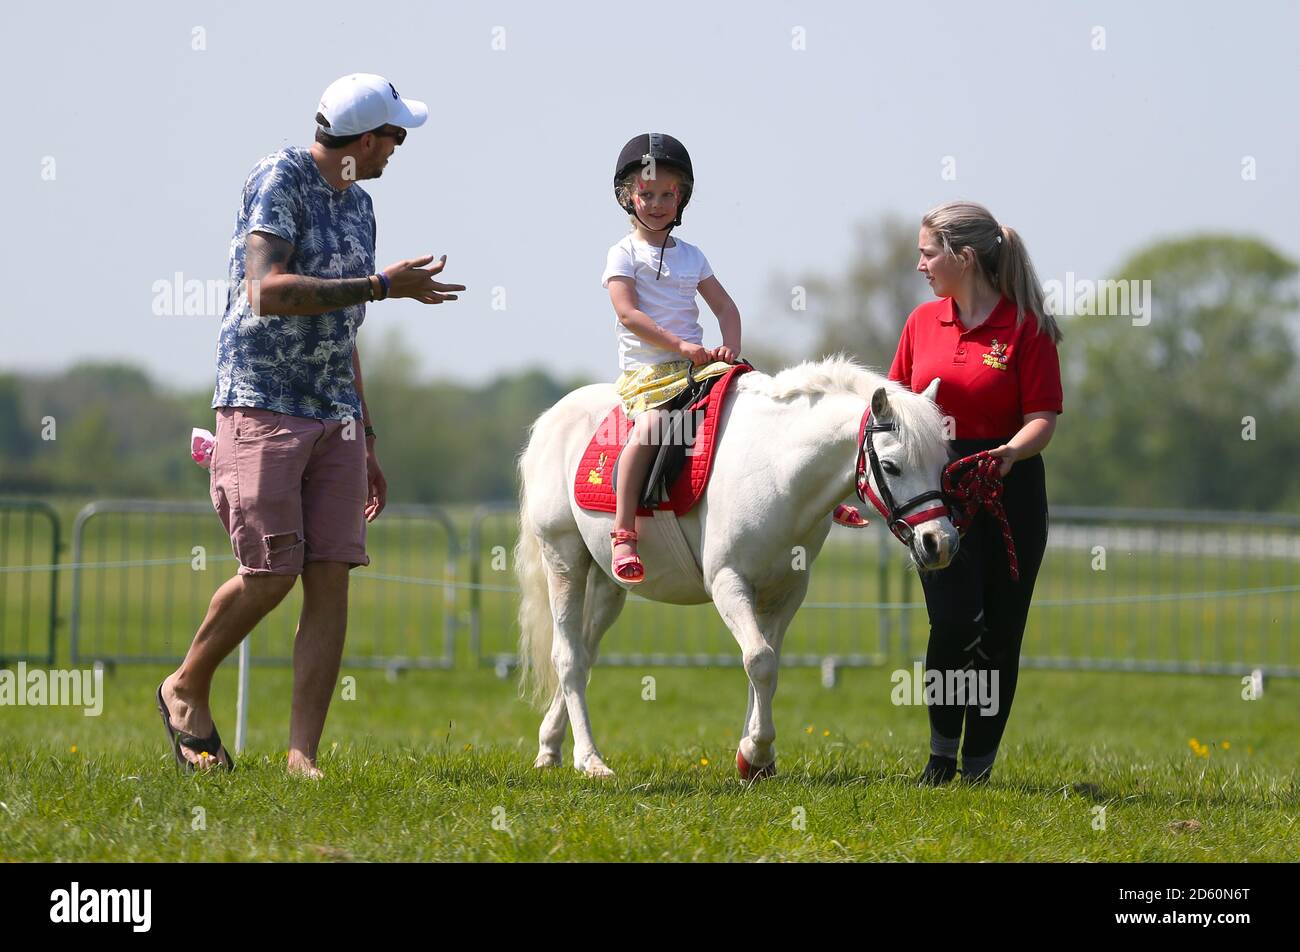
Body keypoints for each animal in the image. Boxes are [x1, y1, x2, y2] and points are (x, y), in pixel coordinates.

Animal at [514, 355, 959, 778]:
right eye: (893, 465)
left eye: (943, 463)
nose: (940, 542)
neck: (778, 470)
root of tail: (550, 421)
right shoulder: (729, 582)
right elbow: (758, 661)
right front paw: (756, 751)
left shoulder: (786, 591)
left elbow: (767, 665)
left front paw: (753, 757)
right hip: (564, 560)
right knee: (568, 658)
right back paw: (589, 759)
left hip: (608, 585)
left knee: (586, 652)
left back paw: (550, 745)